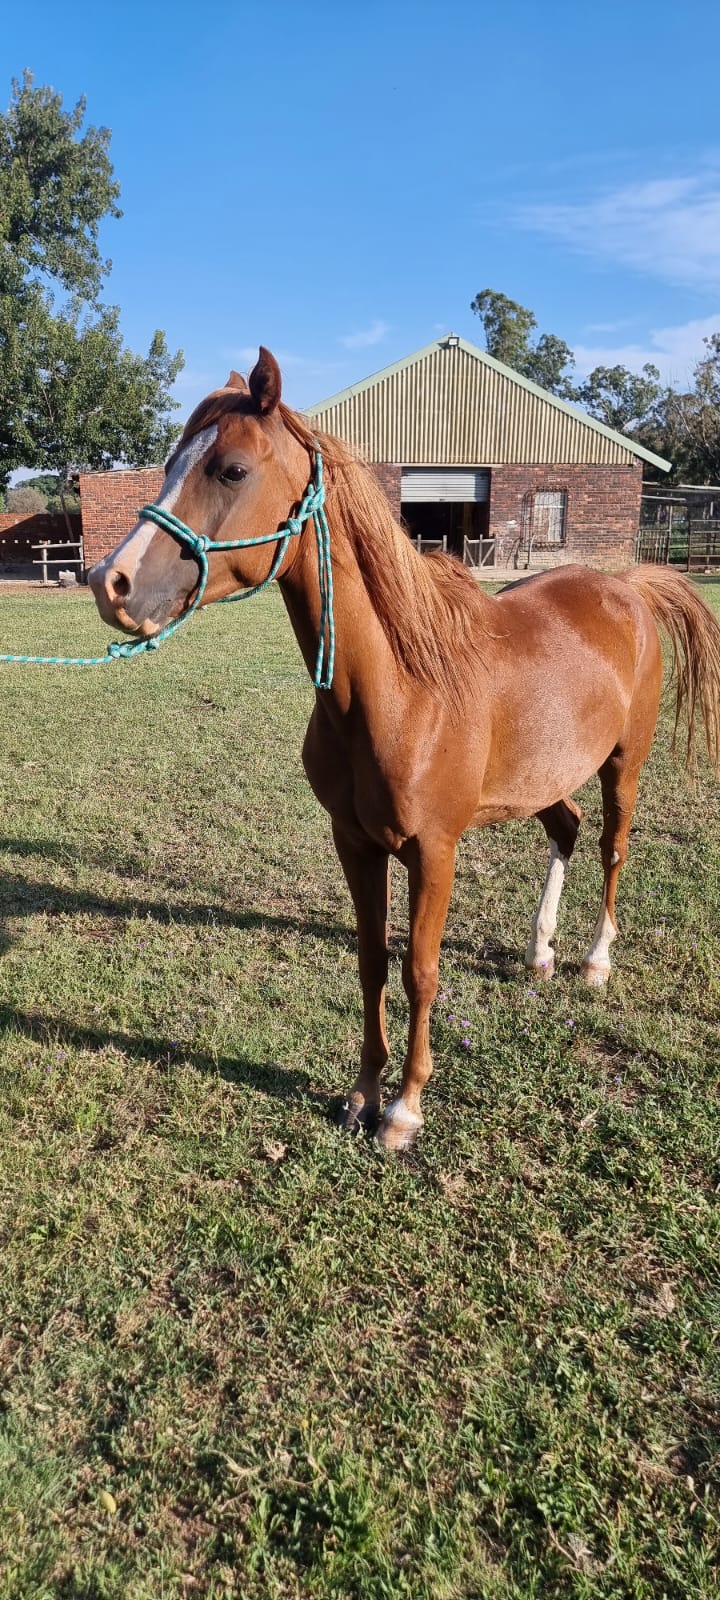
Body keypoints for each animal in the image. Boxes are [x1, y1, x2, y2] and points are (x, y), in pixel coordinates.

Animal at [89, 348, 720, 1151]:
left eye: (231, 469)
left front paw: (404, 1110)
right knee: (567, 829)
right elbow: (370, 961)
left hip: (623, 766)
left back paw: (594, 961)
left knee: (611, 848)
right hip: (546, 778)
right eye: (172, 464)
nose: (112, 583)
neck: (399, 690)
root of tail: (629, 588)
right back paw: (540, 952)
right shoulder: (355, 842)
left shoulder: (434, 849)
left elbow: (421, 970)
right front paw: (362, 1093)